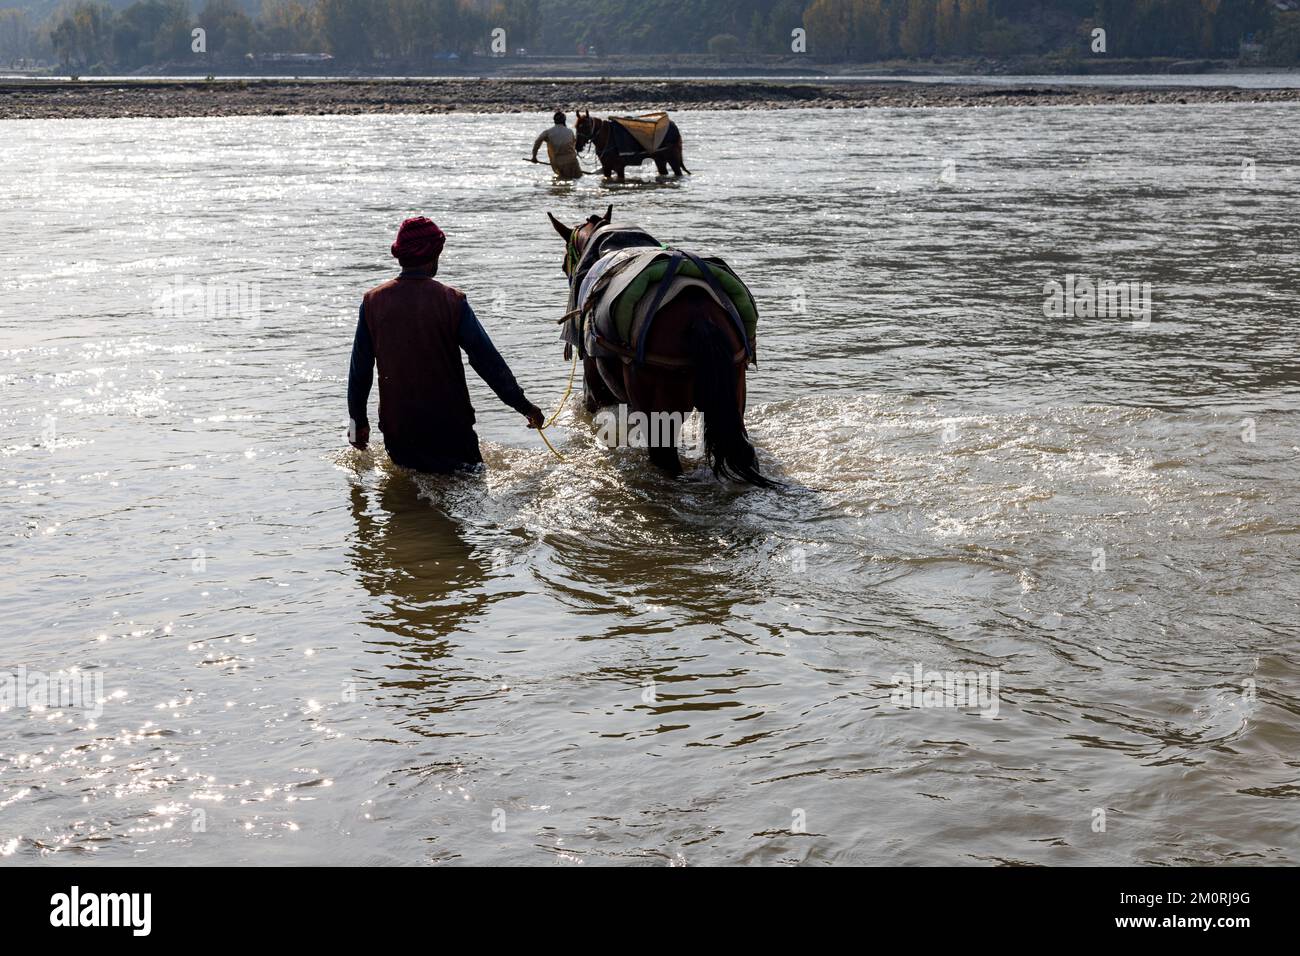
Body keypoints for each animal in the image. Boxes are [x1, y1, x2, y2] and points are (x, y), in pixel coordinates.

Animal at [547, 206, 771, 486]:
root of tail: (700, 315)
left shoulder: (597, 392)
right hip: (733, 395)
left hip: (660, 411)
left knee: (665, 459)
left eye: (564, 263)